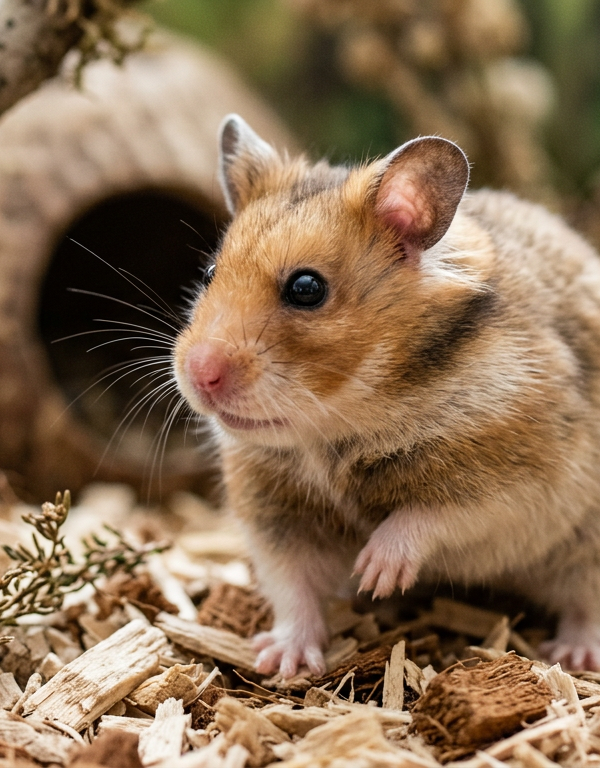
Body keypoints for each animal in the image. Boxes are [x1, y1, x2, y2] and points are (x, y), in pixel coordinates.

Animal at [174, 114, 600, 677]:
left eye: (306, 288)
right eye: (209, 274)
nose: (199, 375)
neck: (341, 426)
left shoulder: (520, 482)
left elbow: (429, 517)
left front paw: (375, 574)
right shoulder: (273, 517)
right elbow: (291, 587)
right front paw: (281, 661)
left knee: (586, 601)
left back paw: (574, 655)